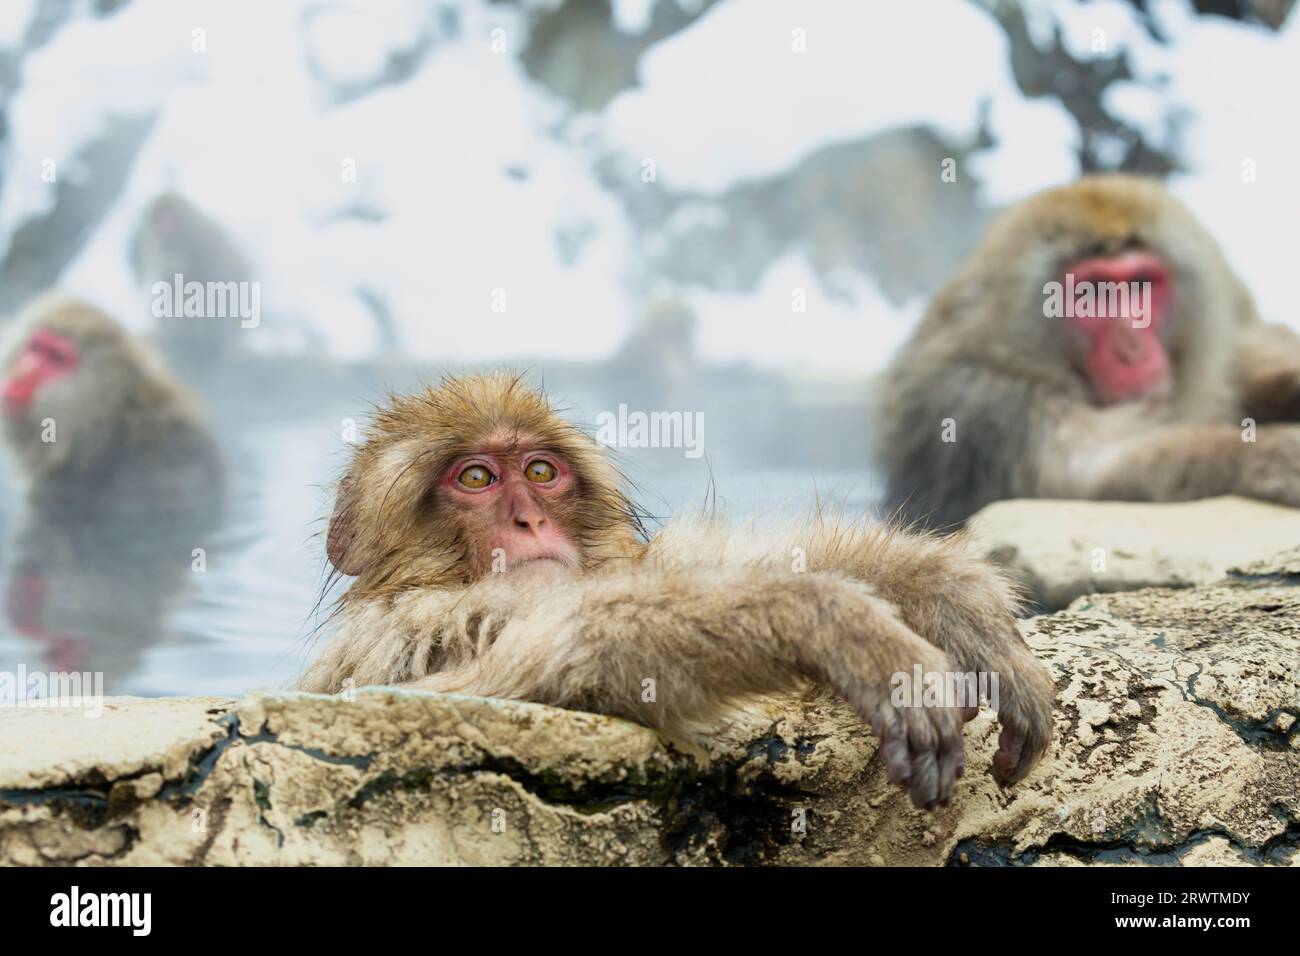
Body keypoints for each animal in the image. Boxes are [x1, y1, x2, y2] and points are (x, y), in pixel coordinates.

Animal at [299, 373, 1055, 810]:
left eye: (540, 471)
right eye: (476, 478)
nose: (528, 520)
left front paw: (956, 605)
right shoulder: (410, 628)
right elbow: (513, 669)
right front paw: (832, 623)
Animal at [875, 174, 1300, 529]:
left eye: (1142, 283)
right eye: (1092, 292)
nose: (1133, 349)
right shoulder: (987, 406)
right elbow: (1082, 475)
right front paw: (1261, 454)